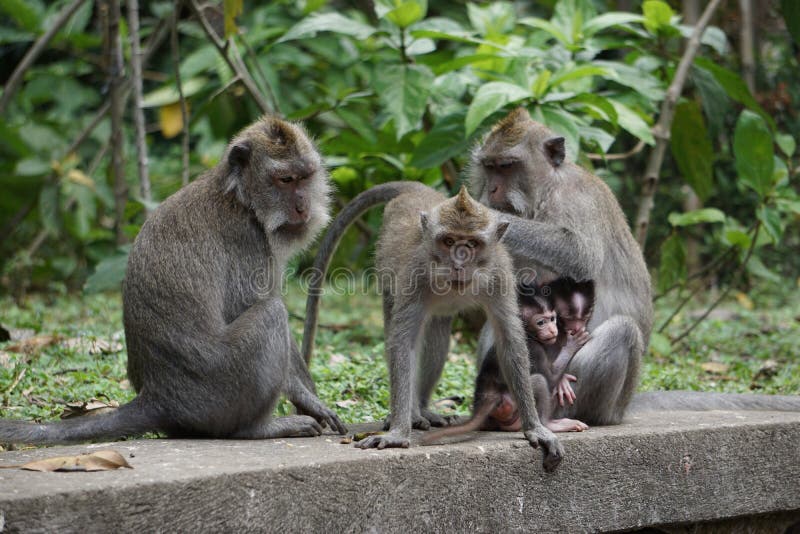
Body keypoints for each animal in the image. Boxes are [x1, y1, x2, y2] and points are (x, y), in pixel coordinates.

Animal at [0, 116, 347, 445]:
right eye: (285, 180)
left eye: (305, 177)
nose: (302, 206)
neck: (240, 197)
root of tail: (159, 397)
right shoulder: (246, 240)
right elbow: (250, 305)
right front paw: (305, 399)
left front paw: (310, 398)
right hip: (219, 392)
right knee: (271, 313)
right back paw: (256, 428)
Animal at [302, 184, 563, 472]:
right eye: (448, 241)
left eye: (472, 243)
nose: (459, 263)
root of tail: (416, 188)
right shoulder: (414, 274)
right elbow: (404, 344)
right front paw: (398, 432)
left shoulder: (500, 274)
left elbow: (510, 340)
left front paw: (535, 427)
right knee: (398, 329)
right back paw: (412, 414)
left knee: (438, 334)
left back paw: (423, 409)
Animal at [472, 107, 800, 420]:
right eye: (489, 167)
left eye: (507, 166)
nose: (491, 191)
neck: (546, 192)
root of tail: (623, 407)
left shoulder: (576, 201)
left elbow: (580, 255)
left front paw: (487, 218)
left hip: (584, 394)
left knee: (622, 332)